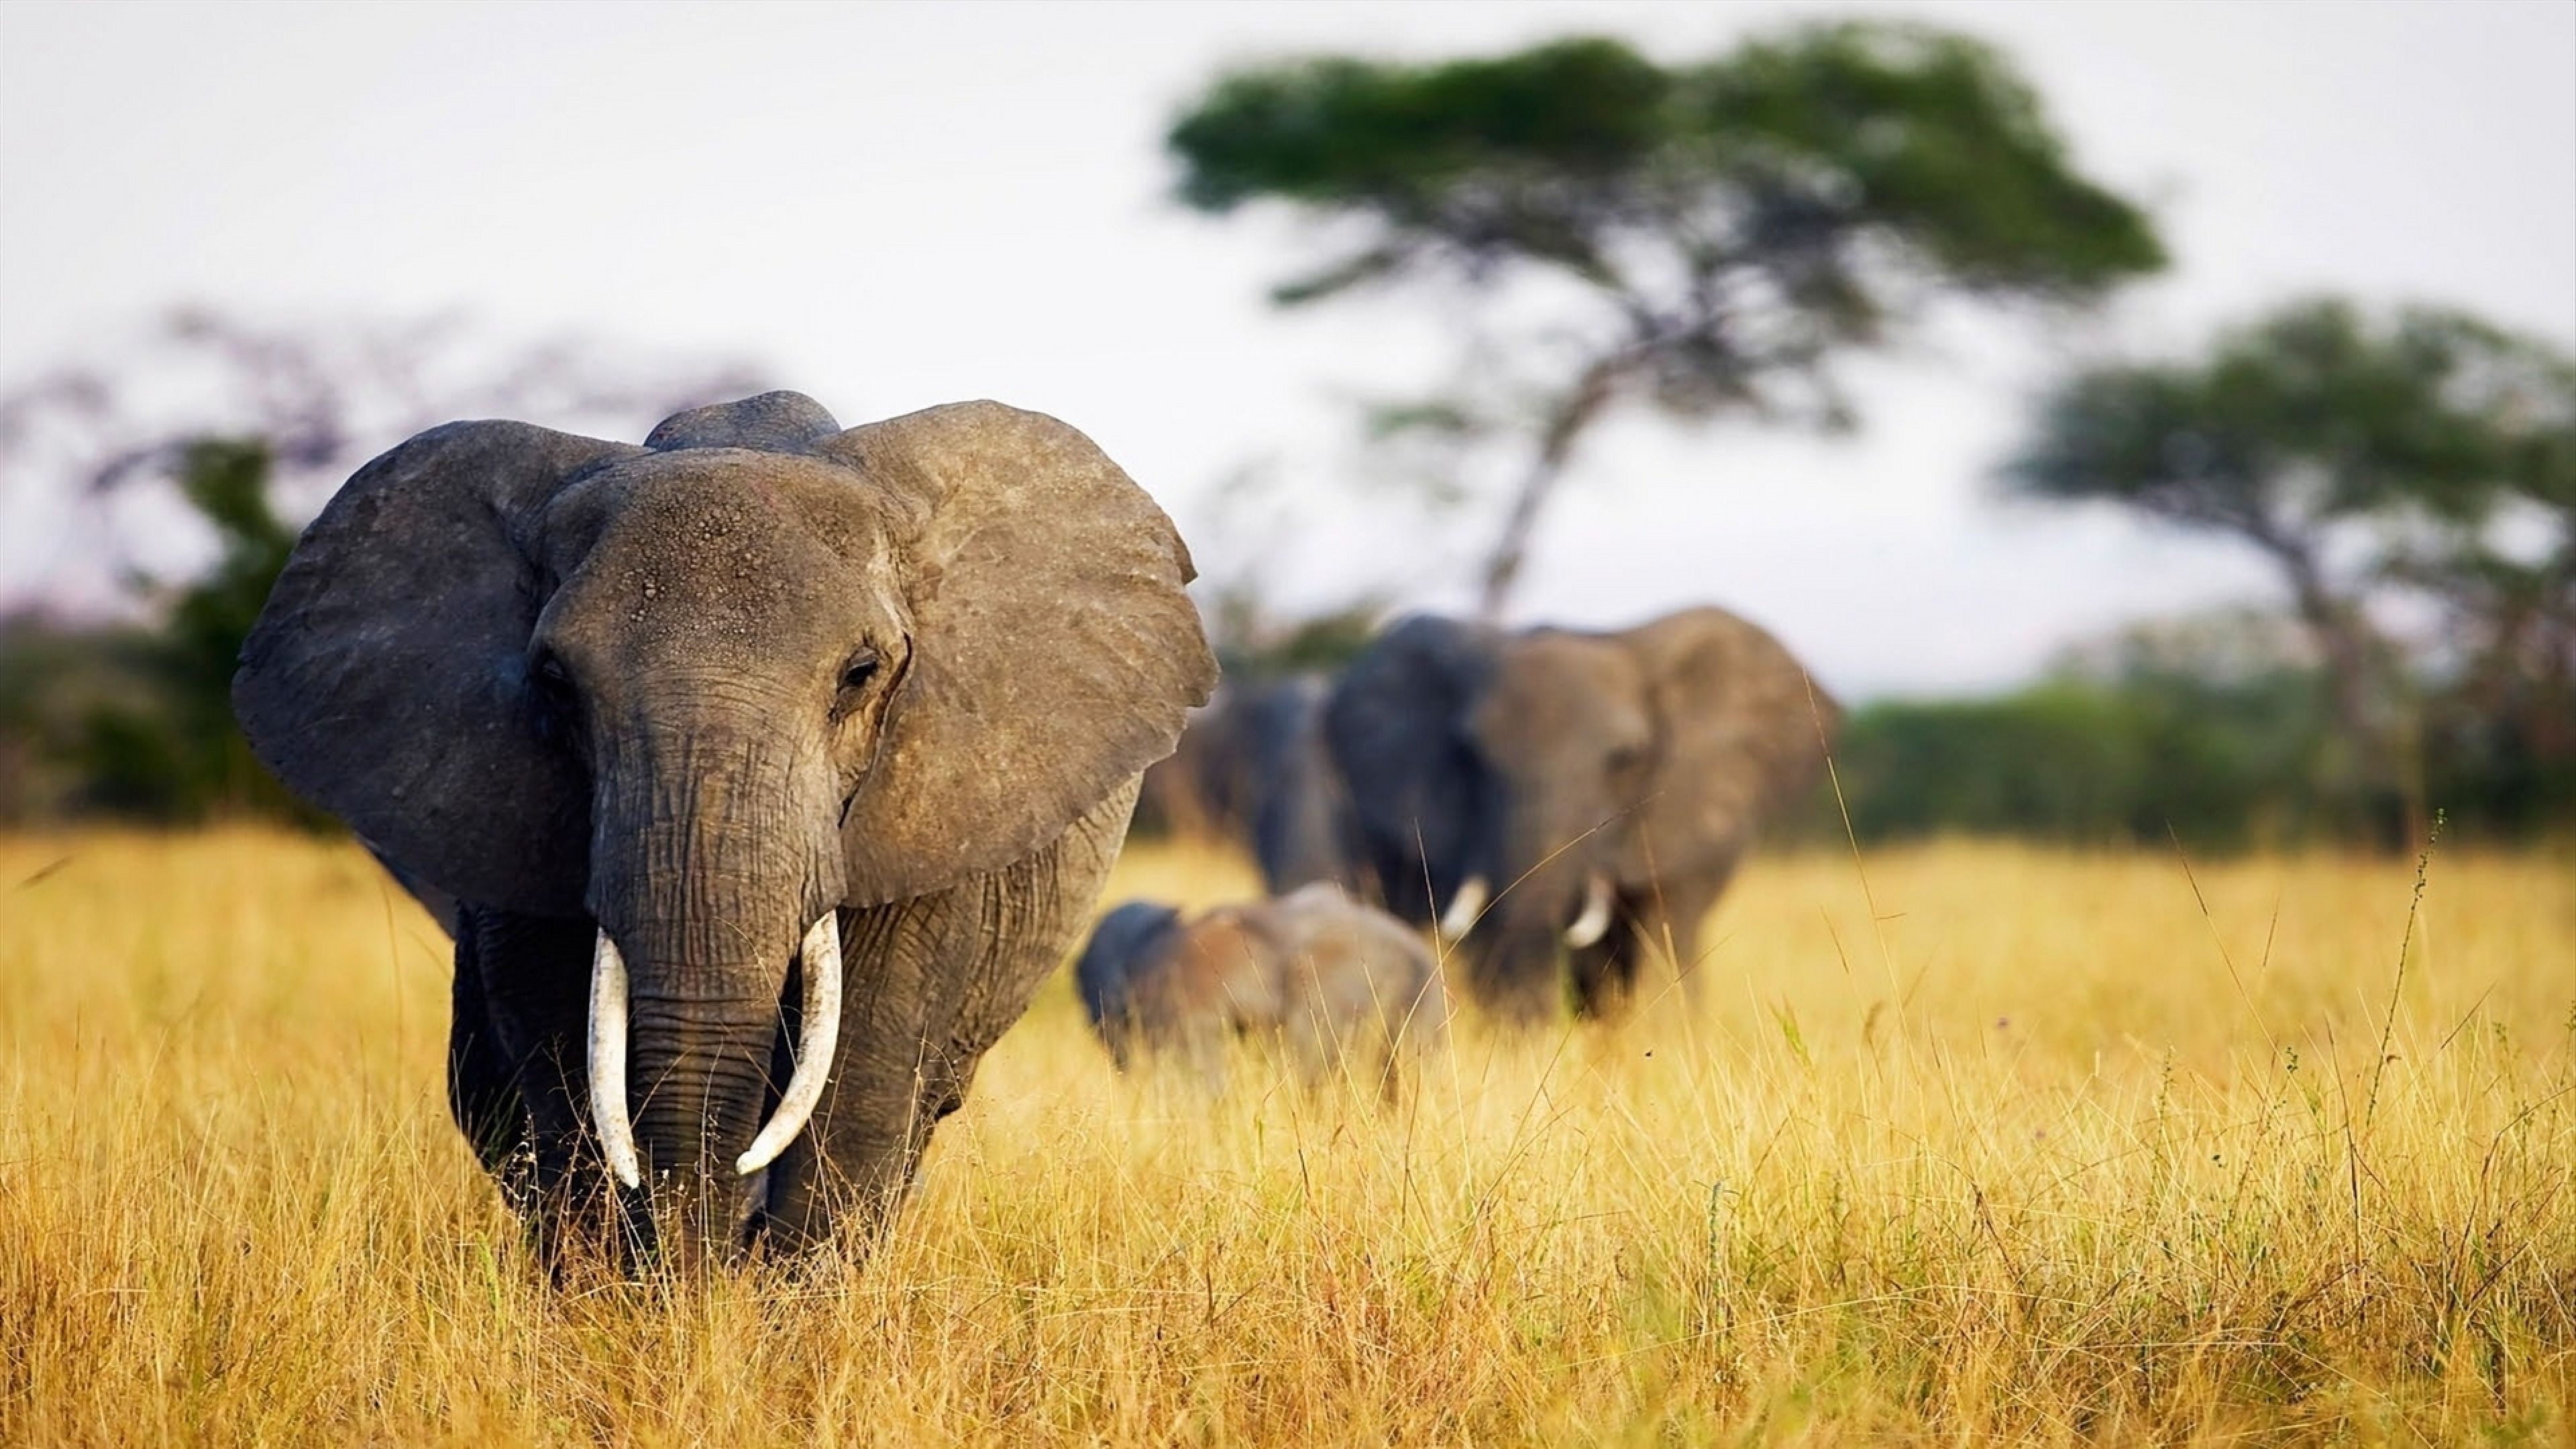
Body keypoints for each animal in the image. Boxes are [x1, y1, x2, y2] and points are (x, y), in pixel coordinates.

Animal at [233, 390, 1216, 1261]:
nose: (701, 1273)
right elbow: (562, 1069)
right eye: (554, 682)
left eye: (861, 674)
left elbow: (859, 1088)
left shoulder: (935, 806)